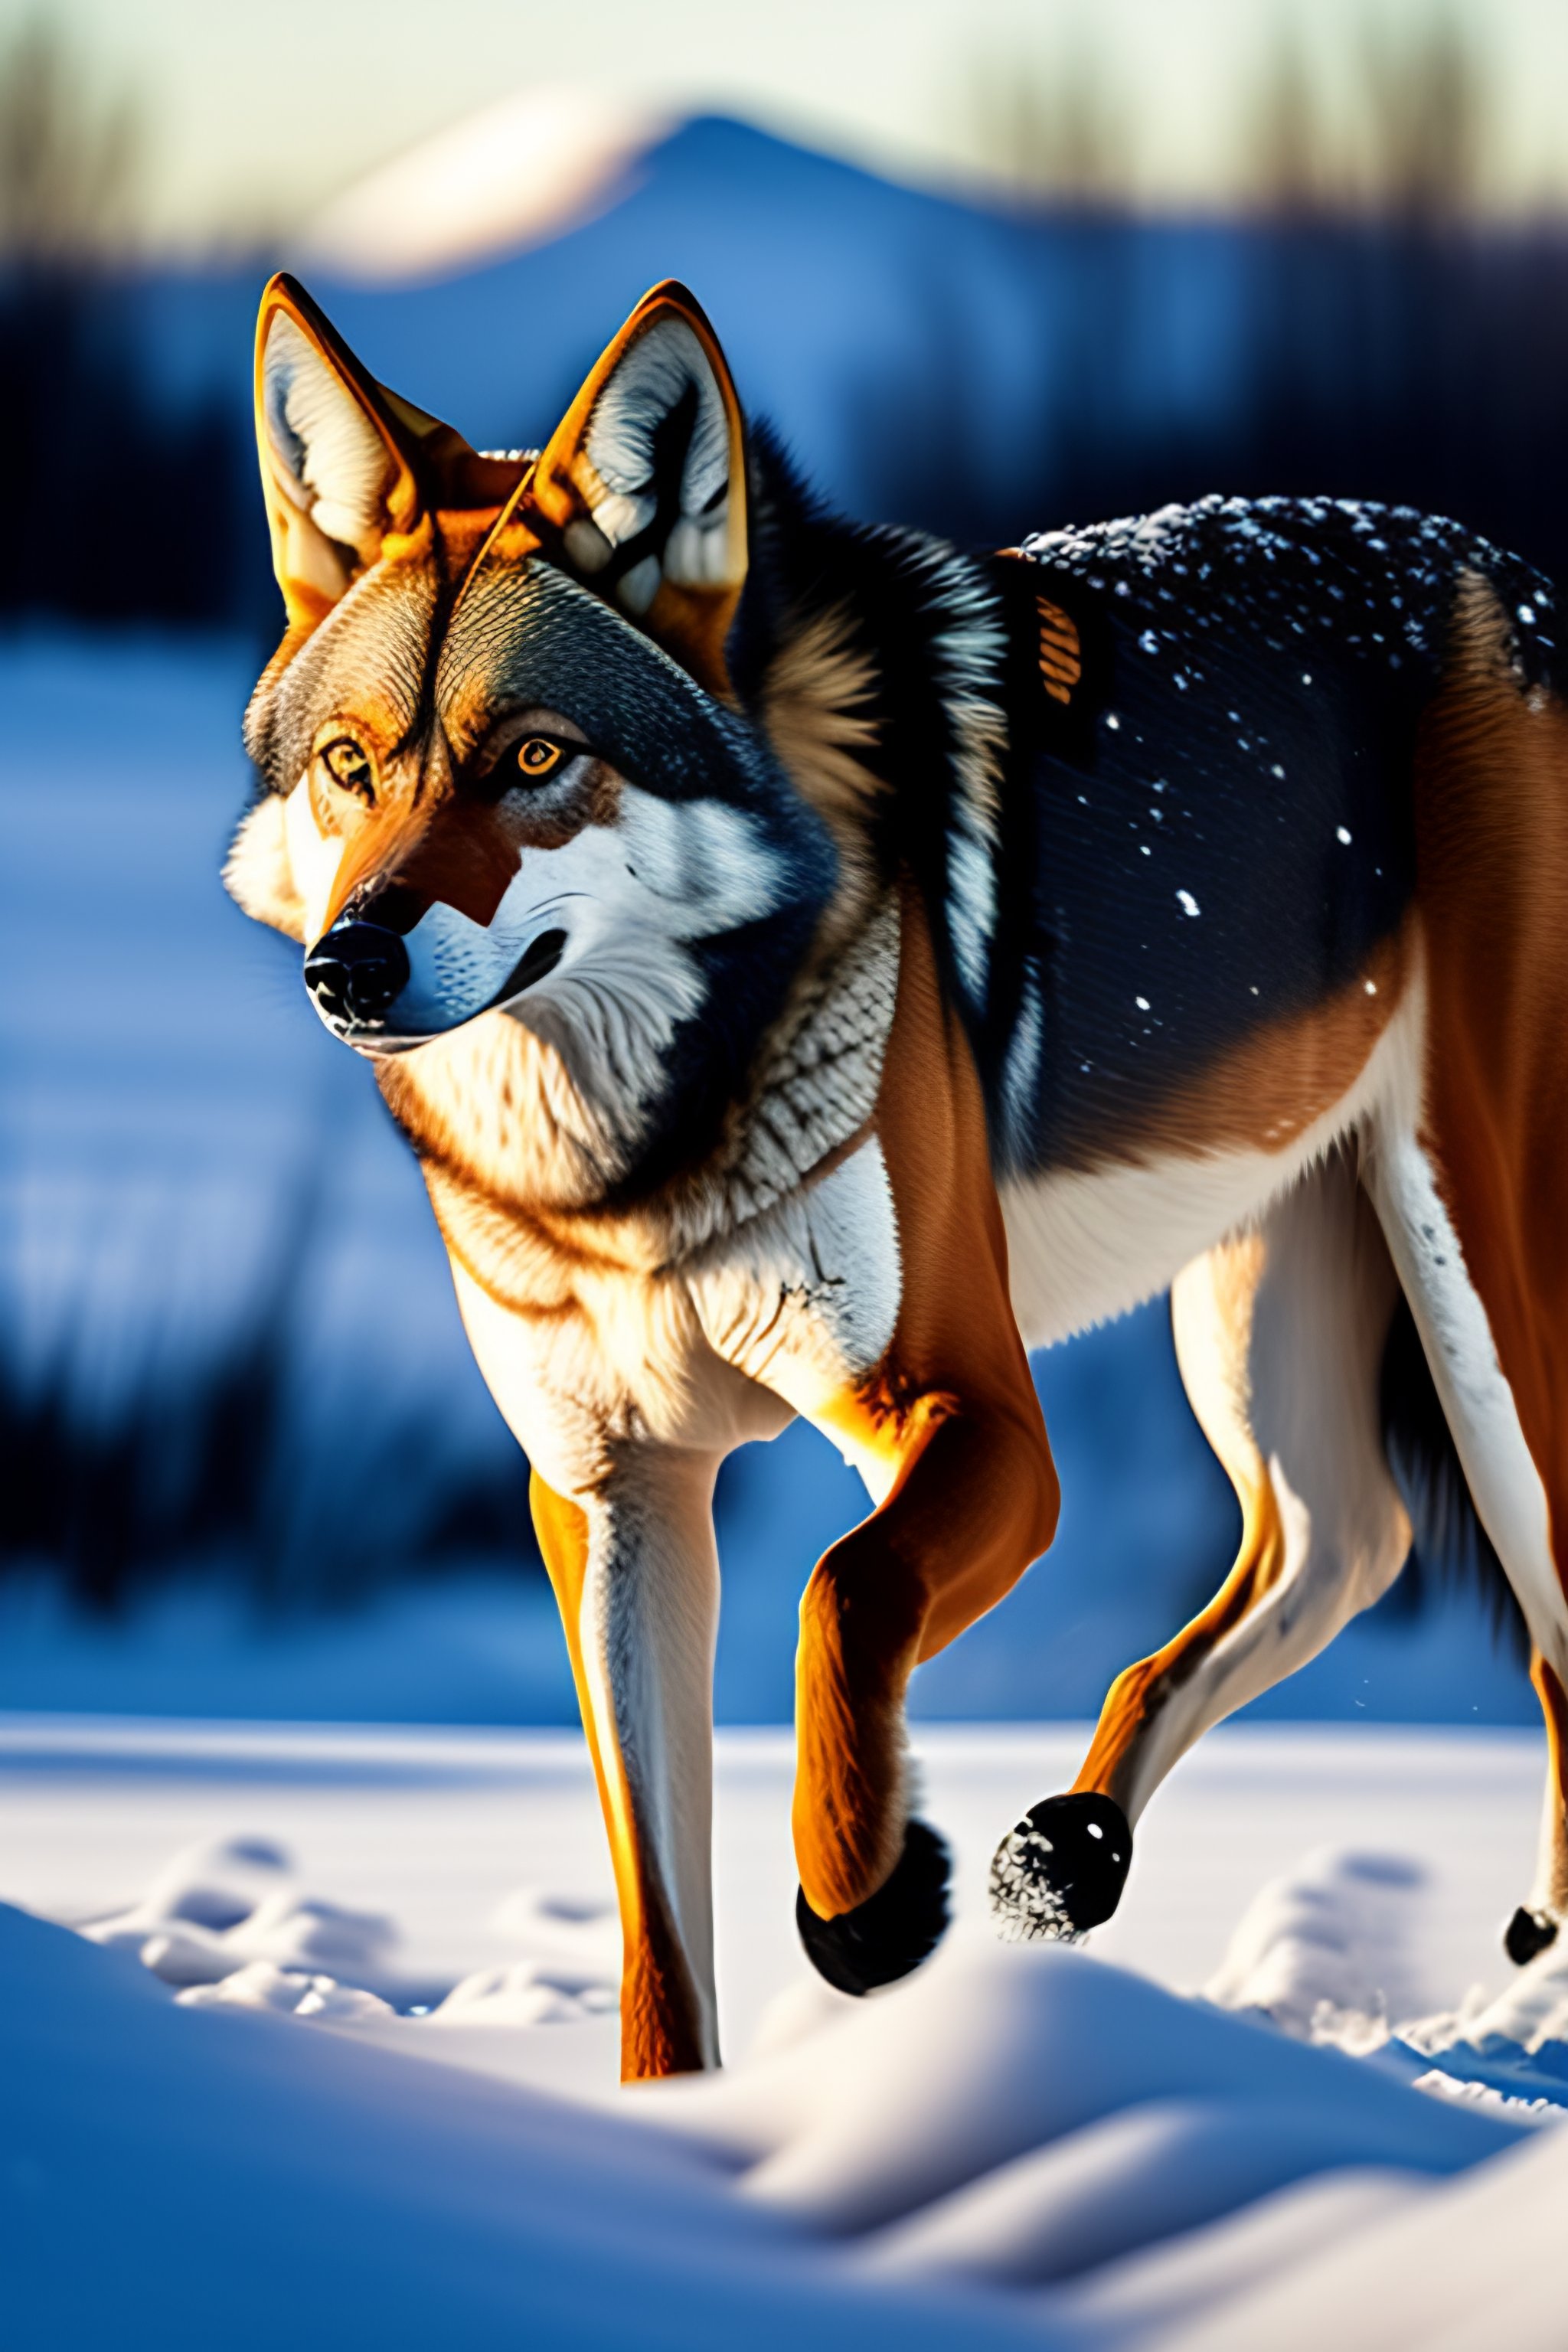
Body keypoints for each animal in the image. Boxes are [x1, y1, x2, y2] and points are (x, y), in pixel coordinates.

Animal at [227, 271, 1568, 2080]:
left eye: (531, 759)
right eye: (353, 764)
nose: (351, 965)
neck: (633, 1165)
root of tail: (1522, 577)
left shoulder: (973, 1410)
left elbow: (843, 1593)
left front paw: (861, 1908)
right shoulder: (611, 1494)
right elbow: (656, 1929)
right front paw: (666, 2125)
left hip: (1477, 1293)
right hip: (1253, 1316)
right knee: (1339, 1545)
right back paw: (1068, 1854)